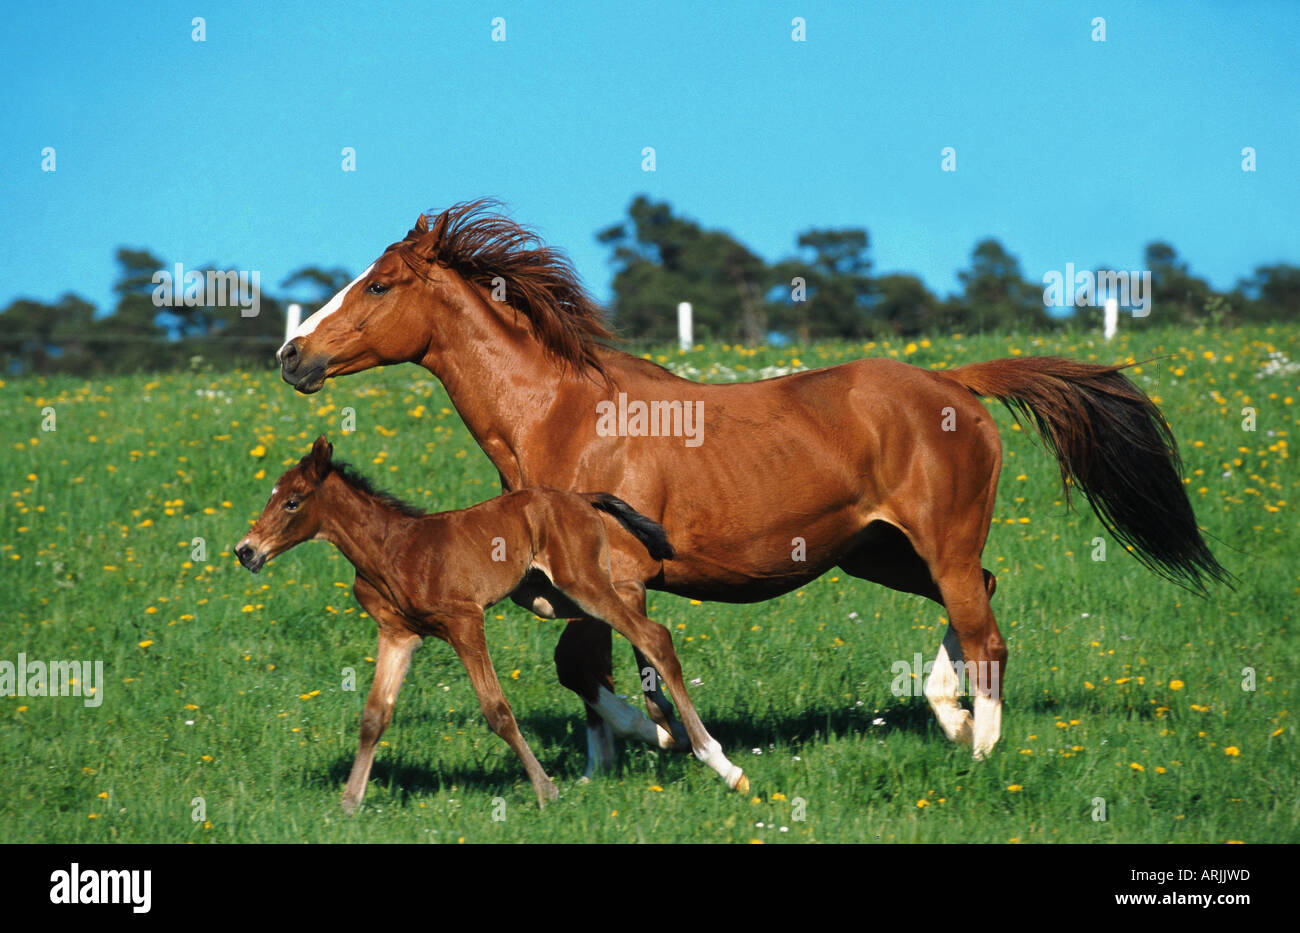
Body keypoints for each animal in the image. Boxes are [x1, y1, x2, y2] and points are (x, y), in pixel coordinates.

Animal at [234, 435, 748, 811]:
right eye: (273, 496)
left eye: (293, 502)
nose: (245, 551)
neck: (391, 548)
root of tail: (582, 498)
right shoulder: (398, 634)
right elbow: (375, 715)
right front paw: (348, 802)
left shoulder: (464, 622)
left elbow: (497, 710)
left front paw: (546, 790)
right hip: (549, 597)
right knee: (636, 624)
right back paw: (661, 730)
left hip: (580, 583)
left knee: (651, 634)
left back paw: (719, 761)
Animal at [275, 199, 1230, 773]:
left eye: (380, 283)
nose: (291, 355)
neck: (562, 413)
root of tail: (955, 383)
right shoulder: (573, 583)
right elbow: (586, 668)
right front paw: (607, 765)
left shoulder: (612, 575)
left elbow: (587, 665)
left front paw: (665, 736)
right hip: (878, 553)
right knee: (979, 604)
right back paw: (950, 716)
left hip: (940, 540)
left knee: (984, 626)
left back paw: (980, 747)